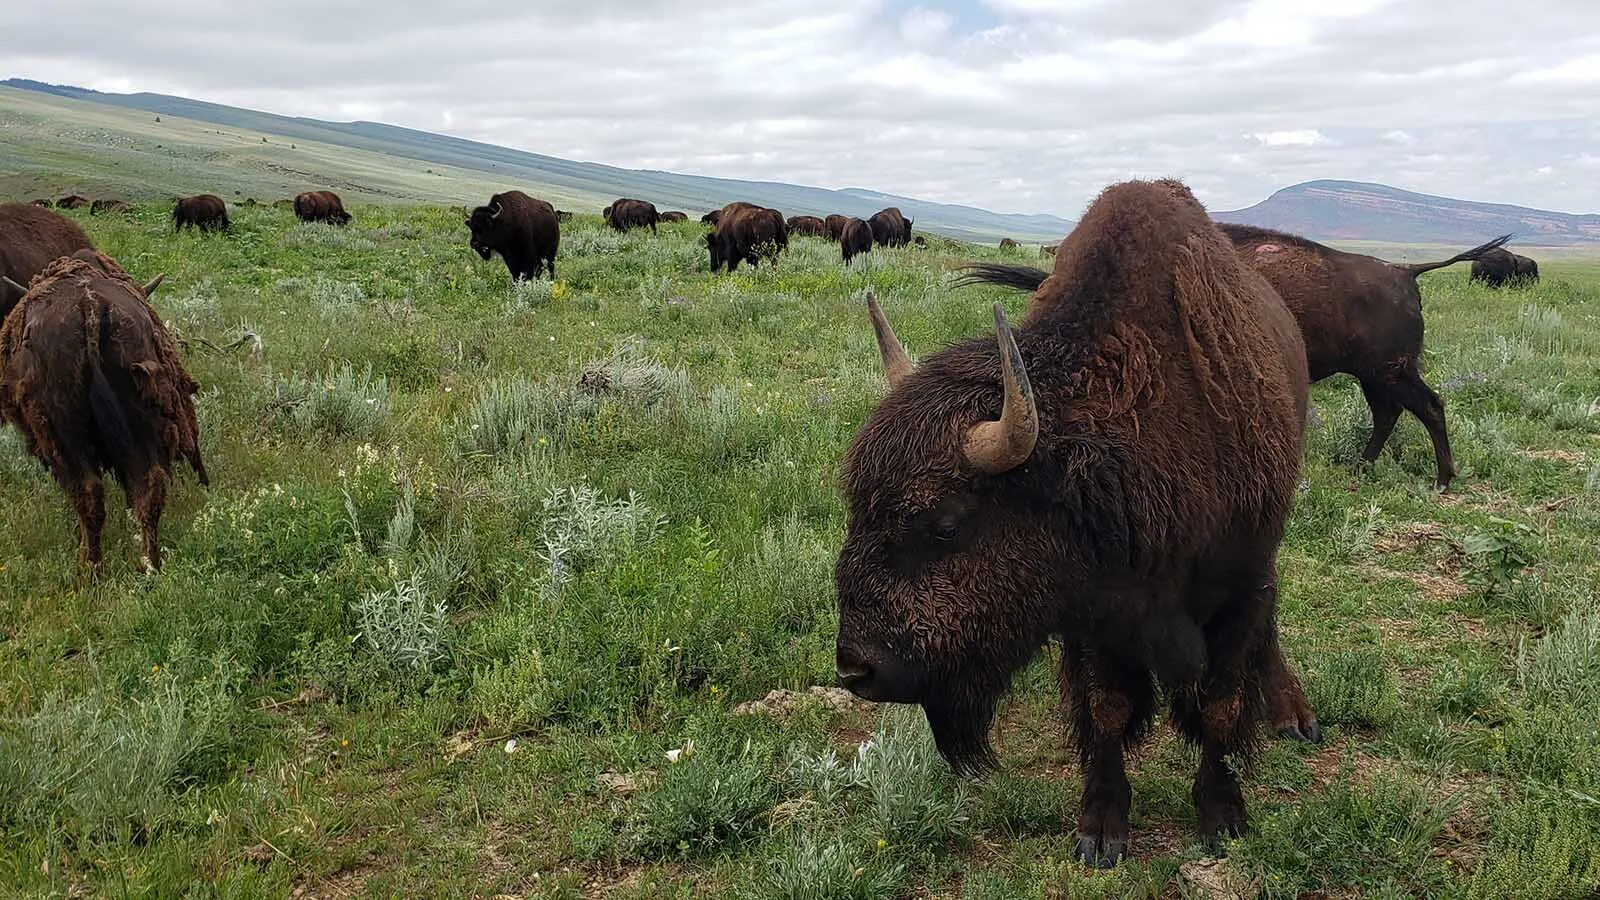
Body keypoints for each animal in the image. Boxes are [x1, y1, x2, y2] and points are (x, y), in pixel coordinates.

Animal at [0, 250, 207, 574]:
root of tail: (90, 306)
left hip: (66, 433)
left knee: (88, 494)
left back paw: (90, 569)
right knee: (149, 486)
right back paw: (150, 566)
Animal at [835, 179, 1311, 868]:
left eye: (946, 523)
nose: (856, 670)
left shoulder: (1240, 584)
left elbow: (1221, 704)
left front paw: (1222, 816)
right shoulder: (1092, 613)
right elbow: (1108, 707)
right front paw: (1103, 828)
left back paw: (1292, 713)